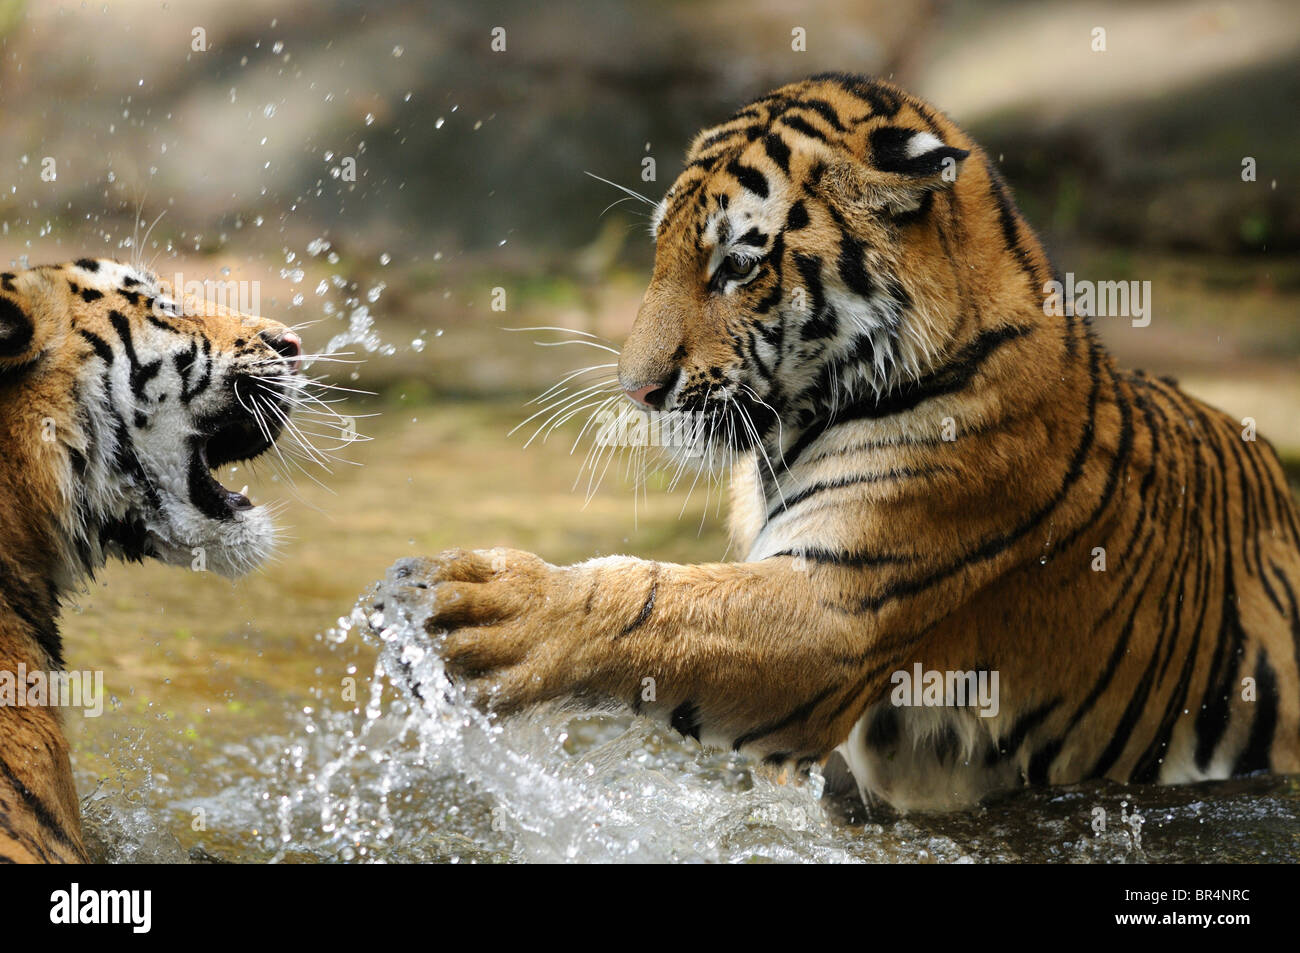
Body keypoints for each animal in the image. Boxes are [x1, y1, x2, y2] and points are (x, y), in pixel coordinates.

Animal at [390, 73, 1300, 814]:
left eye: (736, 265)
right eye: (659, 253)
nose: (636, 390)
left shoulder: (837, 608)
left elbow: (658, 601)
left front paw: (472, 612)